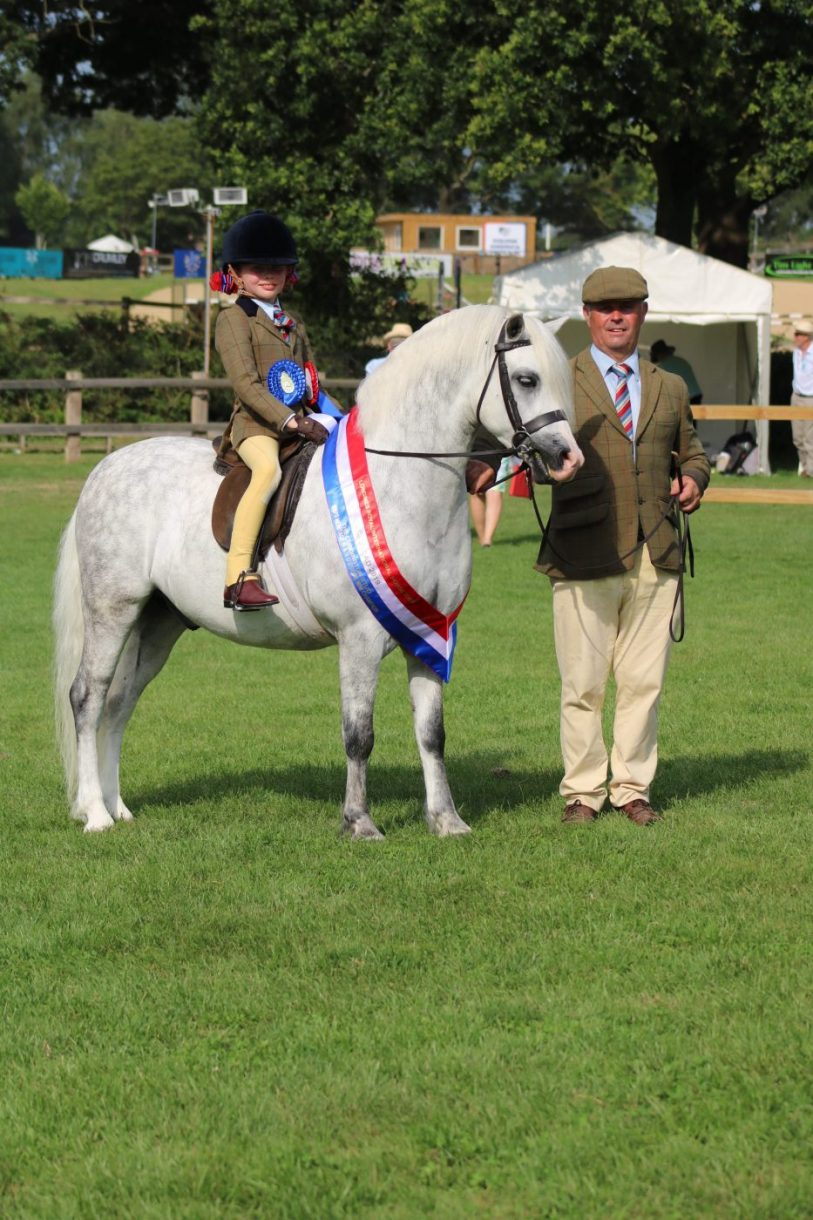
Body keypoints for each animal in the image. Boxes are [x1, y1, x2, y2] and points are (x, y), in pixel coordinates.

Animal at [53, 305, 583, 839]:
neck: (398, 483)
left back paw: (118, 808)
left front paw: (446, 821)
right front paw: (359, 823)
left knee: (120, 702)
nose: (568, 459)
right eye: (527, 379)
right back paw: (95, 813)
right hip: (113, 610)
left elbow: (432, 734)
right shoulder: (360, 638)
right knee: (88, 697)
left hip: (159, 621)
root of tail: (105, 470)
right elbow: (359, 734)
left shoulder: (431, 634)